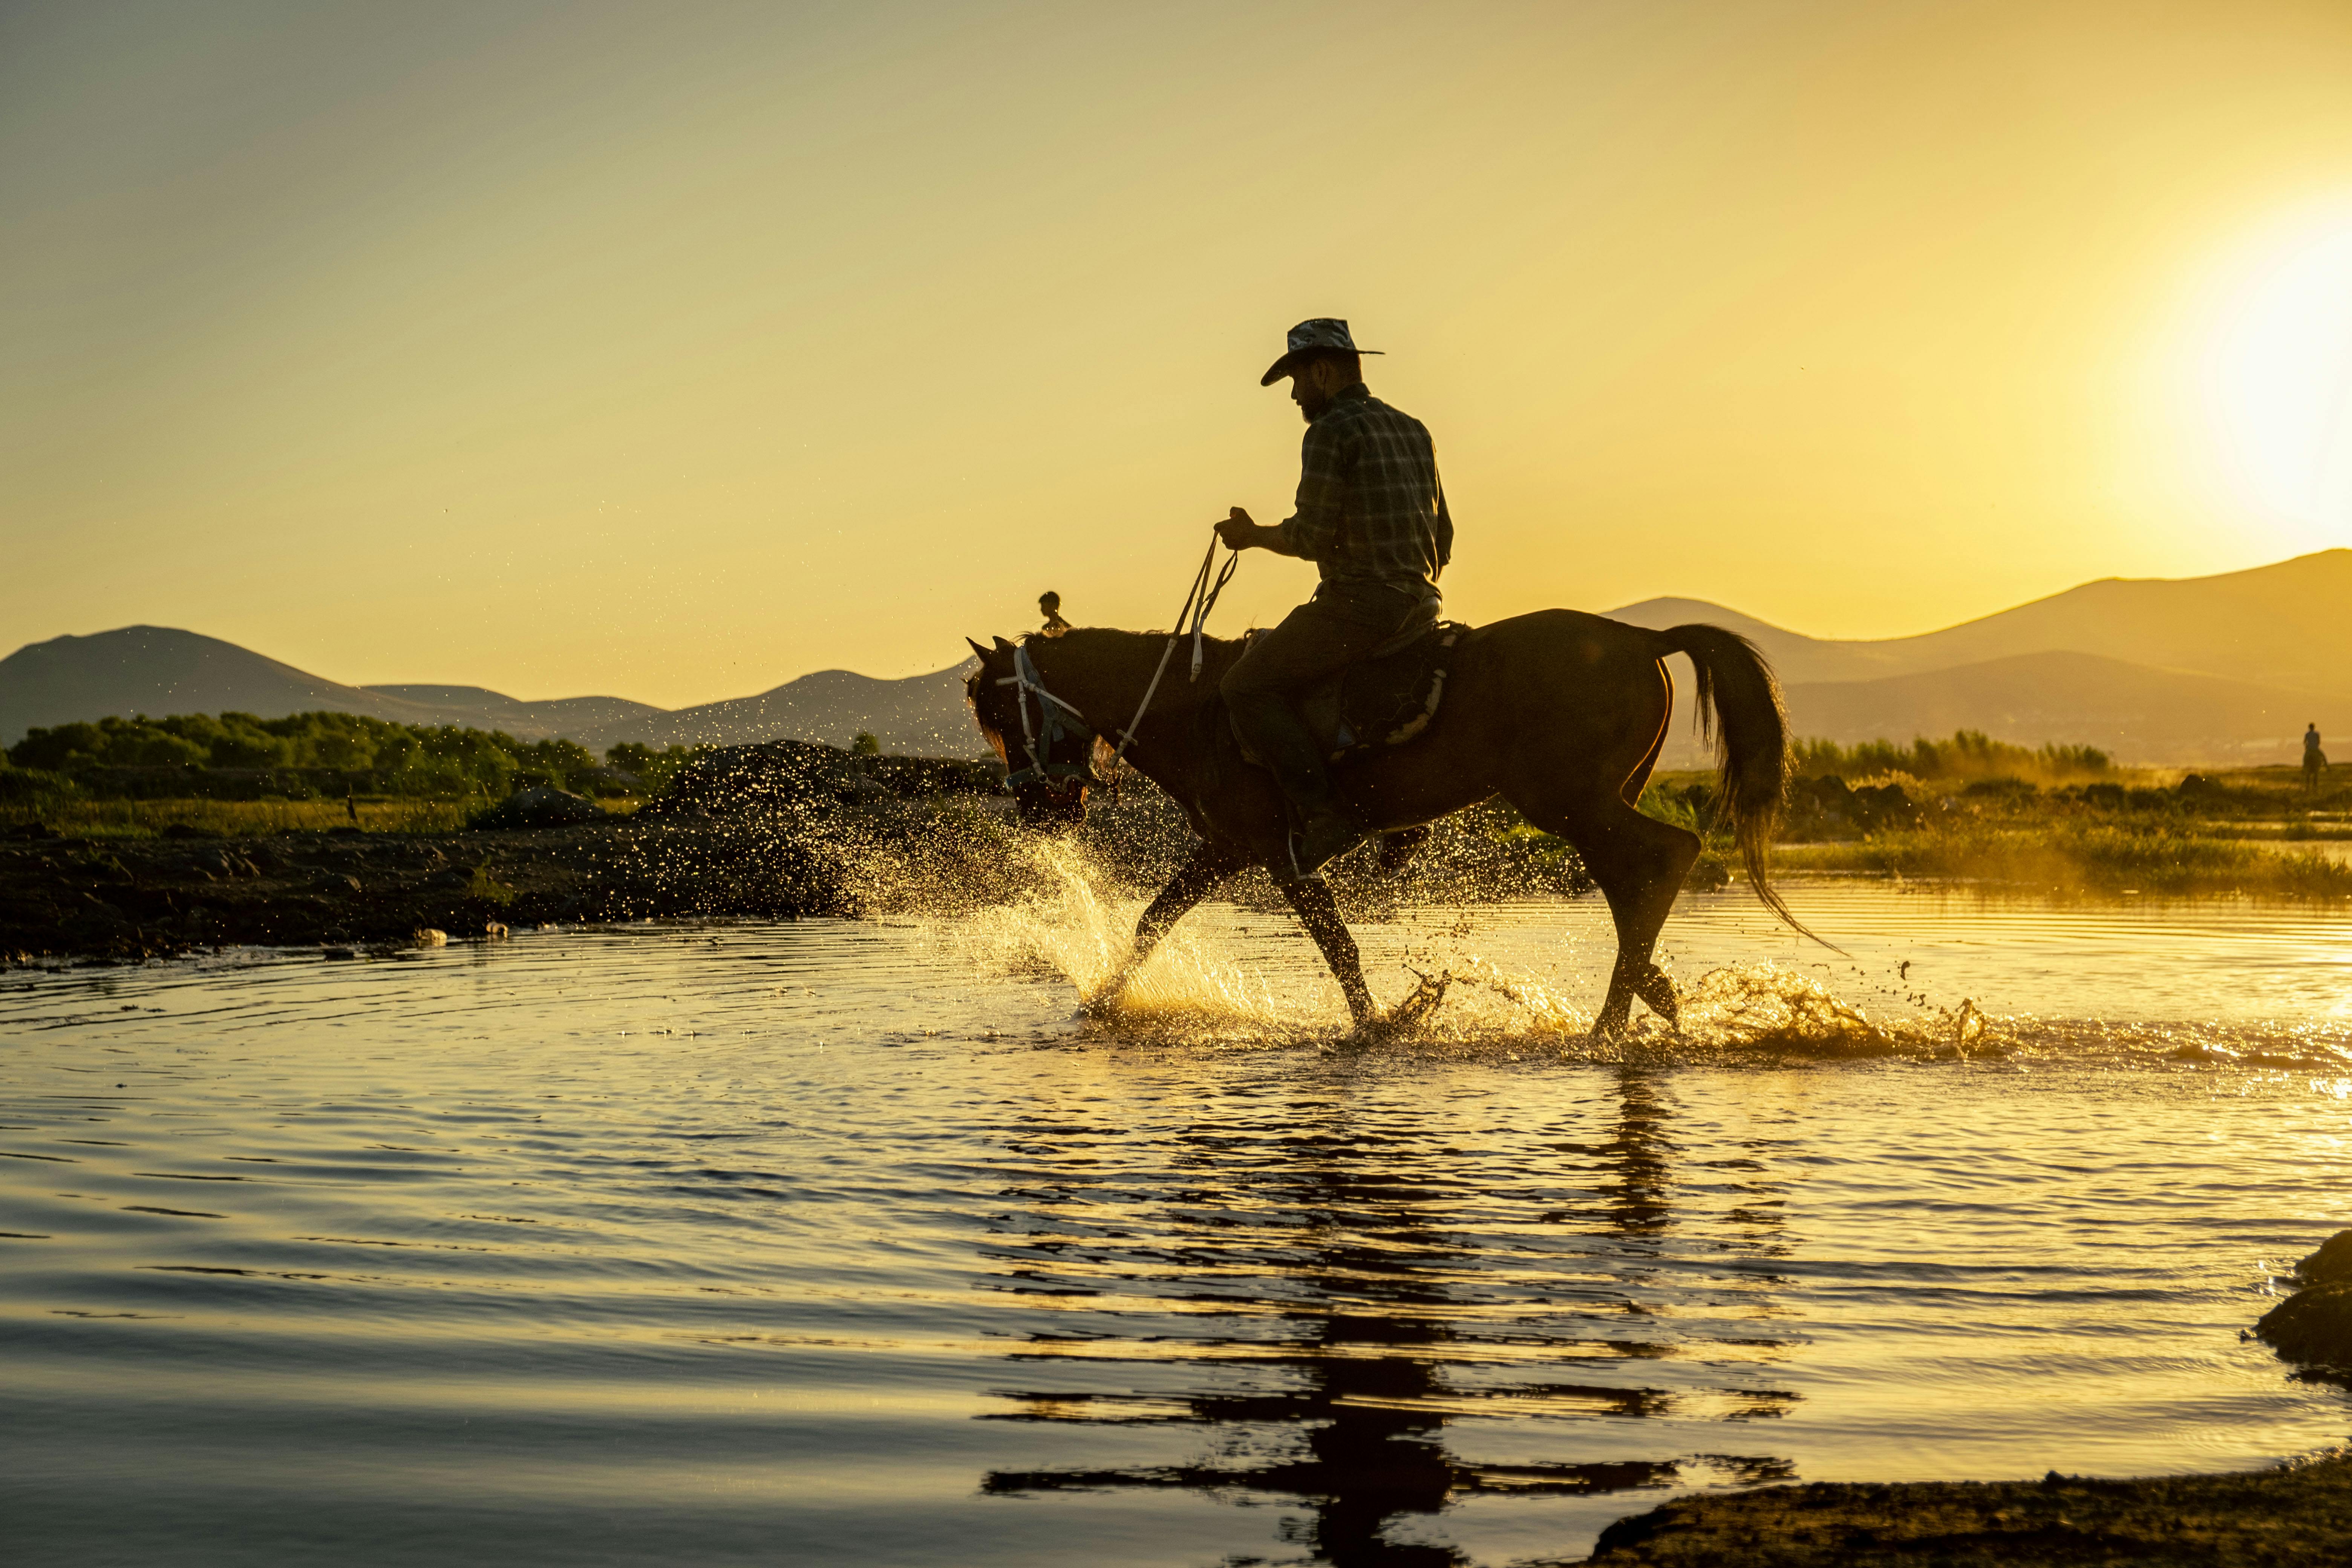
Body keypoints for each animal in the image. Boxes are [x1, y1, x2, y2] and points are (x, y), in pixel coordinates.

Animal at [963, 609, 1809, 1038]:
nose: (1034, 805)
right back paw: (1648, 996)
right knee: (1636, 879)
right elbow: (1151, 921)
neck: (1192, 705)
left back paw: (1610, 1023)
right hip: (1592, 801)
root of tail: (1641, 637)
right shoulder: (1228, 847)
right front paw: (1099, 1002)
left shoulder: (1277, 851)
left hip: (1569, 801)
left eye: (1001, 711)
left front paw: (1384, 1020)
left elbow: (1336, 943)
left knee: (1663, 859)